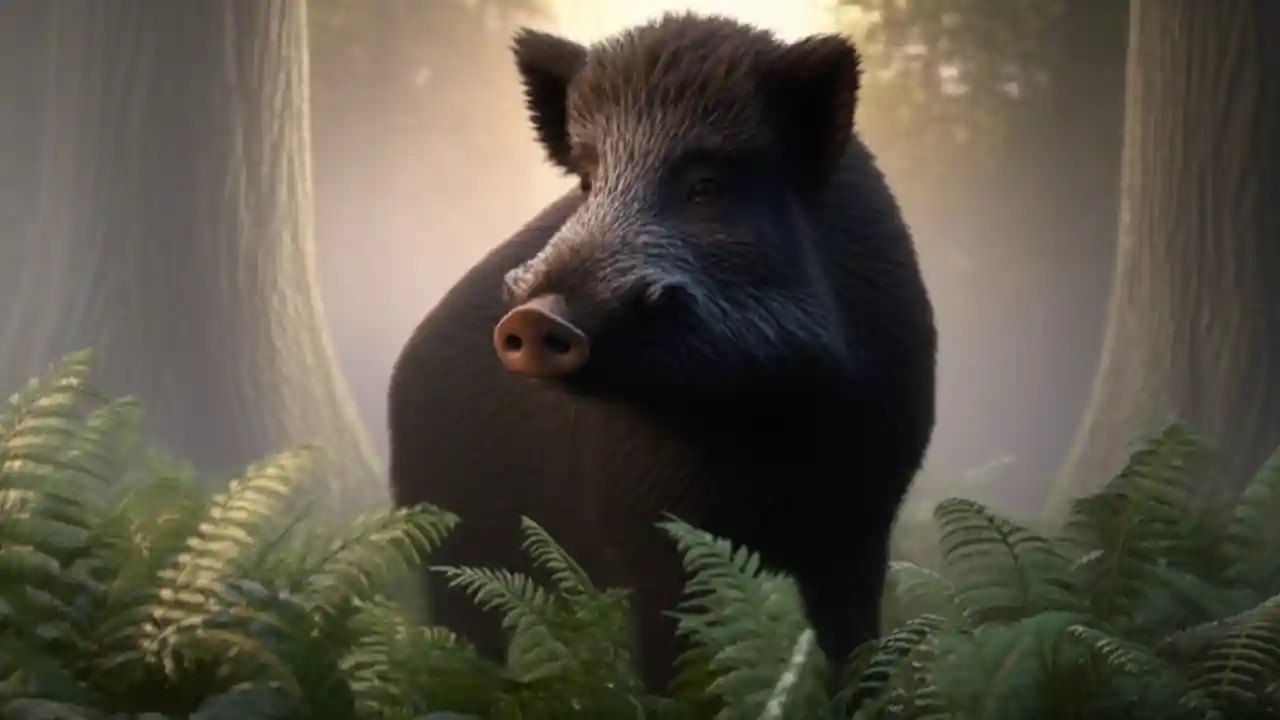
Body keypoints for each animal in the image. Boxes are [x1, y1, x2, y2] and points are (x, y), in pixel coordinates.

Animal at [388, 12, 936, 693]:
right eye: (588, 180)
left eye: (705, 185)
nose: (533, 317)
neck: (759, 422)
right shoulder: (642, 523)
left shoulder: (863, 519)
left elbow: (857, 650)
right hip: (444, 524)